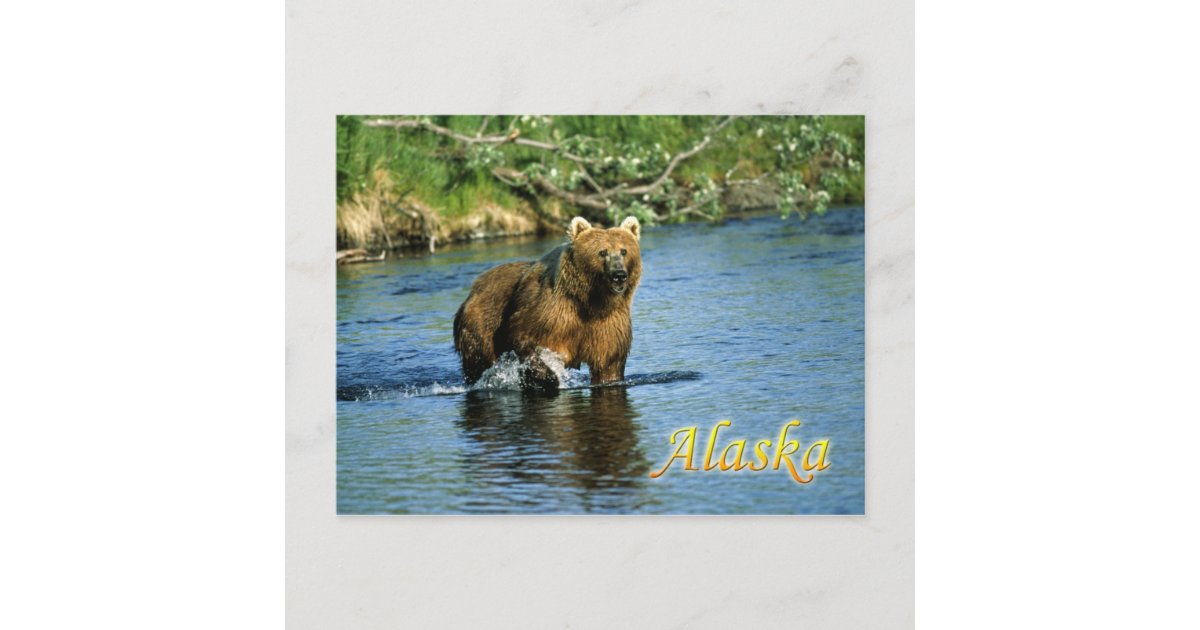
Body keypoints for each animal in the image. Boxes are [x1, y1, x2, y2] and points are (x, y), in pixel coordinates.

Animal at [453, 215, 643, 390]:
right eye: (602, 252)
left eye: (624, 251)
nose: (619, 275)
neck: (591, 301)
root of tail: (474, 288)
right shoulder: (551, 314)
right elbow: (524, 338)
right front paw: (547, 378)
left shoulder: (609, 324)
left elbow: (608, 365)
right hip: (481, 323)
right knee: (479, 361)